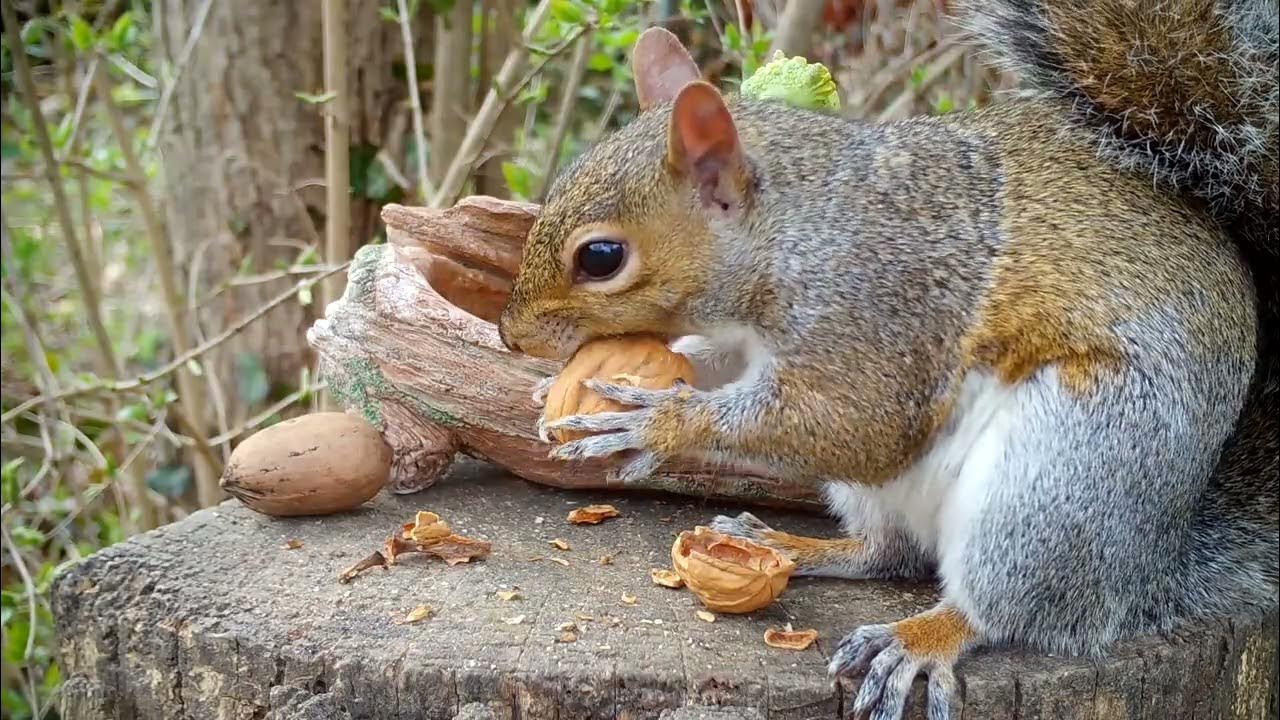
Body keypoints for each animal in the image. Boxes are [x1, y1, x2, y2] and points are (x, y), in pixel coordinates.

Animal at [498, 0, 1278, 717]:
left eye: (602, 257)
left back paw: (920, 638)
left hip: (1066, 473)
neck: (793, 231)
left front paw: (656, 425)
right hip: (894, 498)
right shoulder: (746, 339)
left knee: (1006, 604)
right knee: (887, 554)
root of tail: (1155, 562)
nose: (511, 335)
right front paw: (565, 390)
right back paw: (792, 546)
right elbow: (711, 360)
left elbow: (861, 426)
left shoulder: (880, 313)